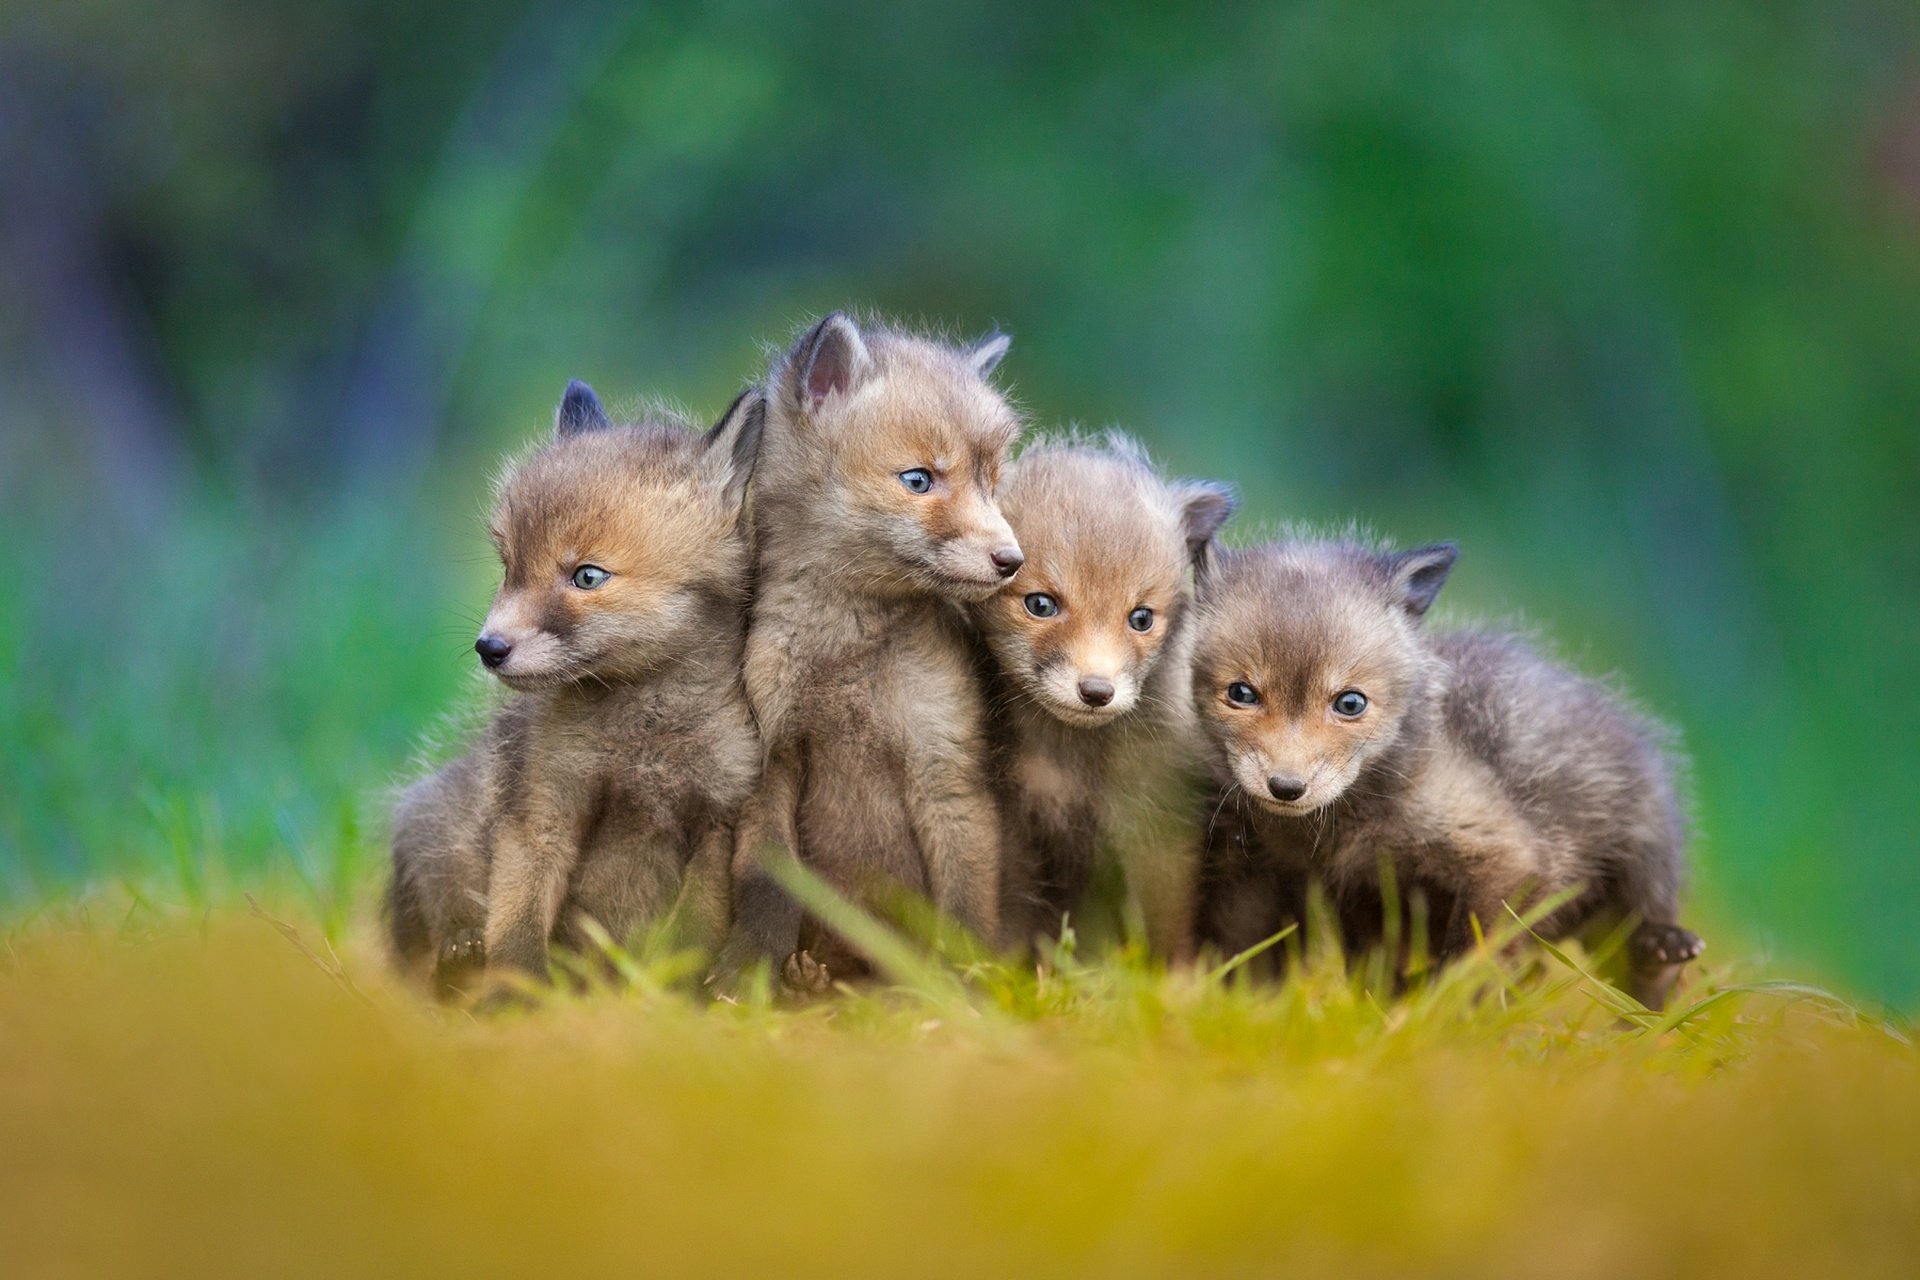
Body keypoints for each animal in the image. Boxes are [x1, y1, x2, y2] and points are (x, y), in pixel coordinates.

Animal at [386, 380, 764, 997]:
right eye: (509, 567)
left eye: (587, 576)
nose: (489, 647)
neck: (643, 735)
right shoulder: (540, 812)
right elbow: (517, 926)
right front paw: (515, 1001)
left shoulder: (717, 824)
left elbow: (691, 938)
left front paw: (677, 1000)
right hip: (434, 829)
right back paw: (459, 955)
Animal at [711, 312, 1024, 991]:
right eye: (919, 480)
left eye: (992, 481)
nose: (1012, 561)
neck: (847, 652)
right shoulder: (770, 760)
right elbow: (768, 884)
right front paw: (748, 967)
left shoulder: (946, 768)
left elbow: (964, 904)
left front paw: (960, 985)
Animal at [973, 436, 1234, 959]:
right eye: (1040, 604)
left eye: (1141, 618)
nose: (1096, 692)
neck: (1071, 764)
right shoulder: (1016, 826)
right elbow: (1011, 917)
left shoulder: (1159, 824)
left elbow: (1164, 925)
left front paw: (1171, 975)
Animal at [1187, 537, 1705, 1009]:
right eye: (1242, 693)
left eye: (1350, 703)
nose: (1287, 787)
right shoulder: (1325, 884)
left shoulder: (1506, 851)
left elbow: (1473, 956)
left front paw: (1447, 1014)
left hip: (1646, 845)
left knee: (1646, 950)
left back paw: (1659, 961)